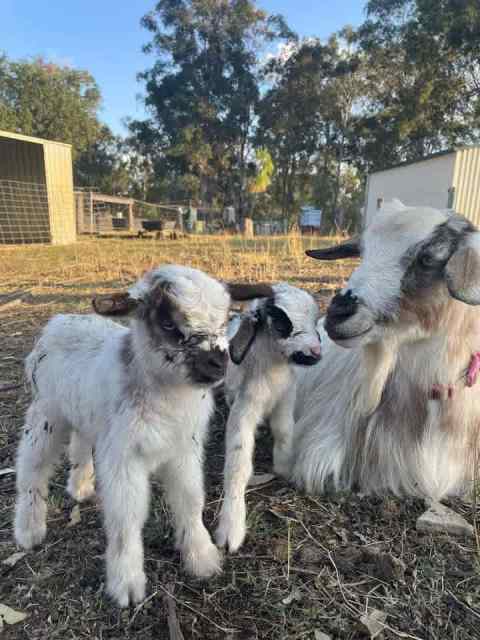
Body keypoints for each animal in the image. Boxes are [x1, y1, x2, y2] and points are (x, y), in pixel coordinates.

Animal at [14, 264, 270, 607]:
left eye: (225, 319)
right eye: (167, 323)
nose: (218, 363)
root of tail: (58, 321)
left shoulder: (184, 449)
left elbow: (190, 499)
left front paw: (201, 557)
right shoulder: (125, 457)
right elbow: (127, 516)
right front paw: (127, 582)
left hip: (85, 414)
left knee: (80, 442)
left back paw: (80, 486)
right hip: (46, 414)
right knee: (32, 468)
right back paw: (28, 530)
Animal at [216, 283, 322, 552]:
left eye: (315, 318)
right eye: (282, 321)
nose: (316, 352)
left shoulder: (285, 399)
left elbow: (284, 431)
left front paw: (284, 466)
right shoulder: (245, 406)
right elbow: (238, 460)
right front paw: (231, 527)